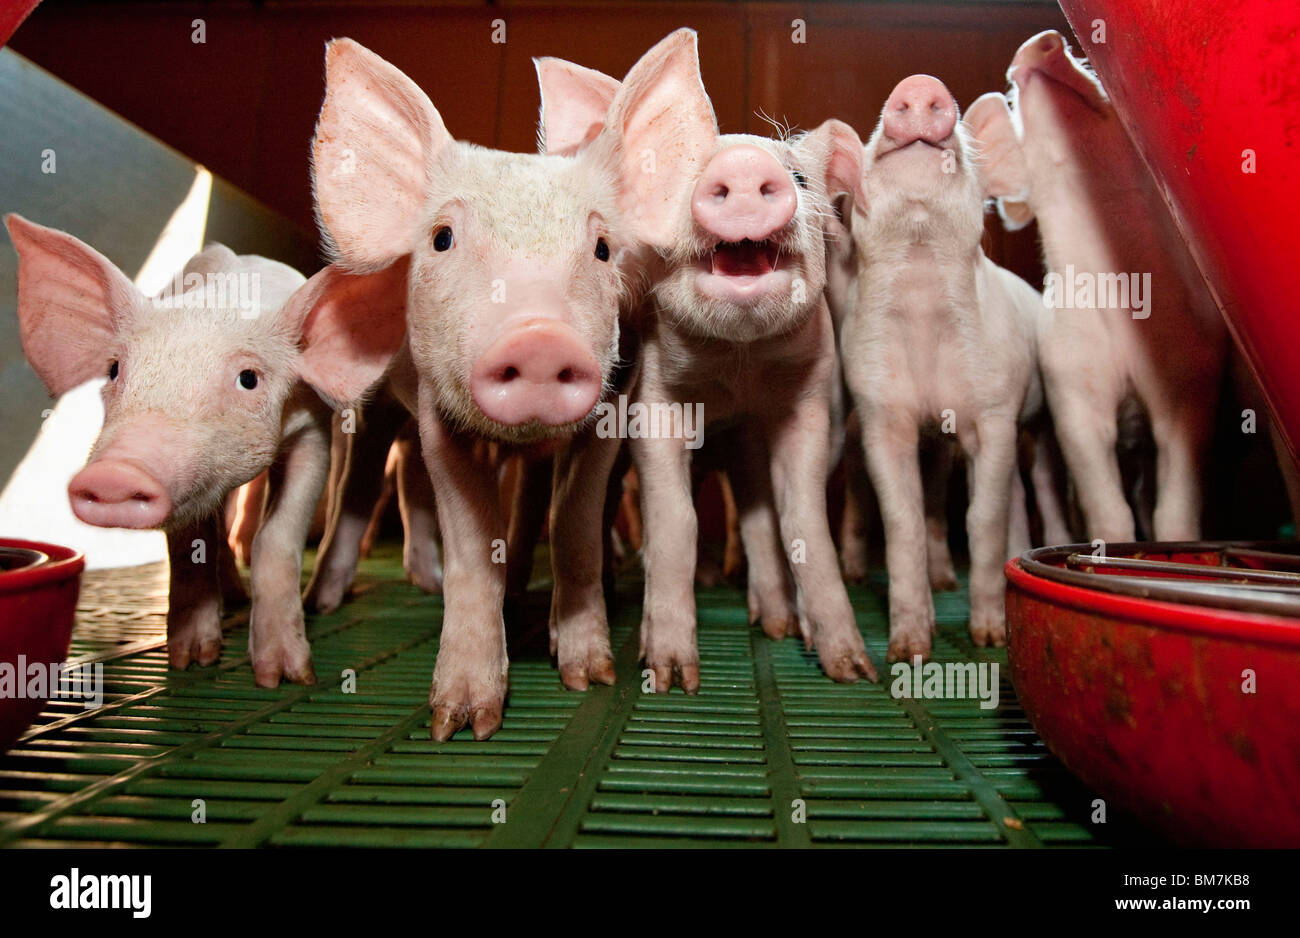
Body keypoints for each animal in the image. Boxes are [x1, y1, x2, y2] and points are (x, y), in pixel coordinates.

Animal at [6, 215, 407, 684]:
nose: (115, 473)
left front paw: (284, 677)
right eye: (115, 369)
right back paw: (231, 599)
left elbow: (277, 537)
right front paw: (191, 660)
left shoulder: (313, 430)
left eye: (249, 378)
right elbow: (190, 544)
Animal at [309, 31, 715, 739]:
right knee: (357, 486)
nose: (538, 337)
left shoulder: (613, 404)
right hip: (368, 409)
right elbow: (473, 546)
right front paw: (461, 724)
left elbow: (572, 522)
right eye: (442, 238)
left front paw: (588, 675)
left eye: (603, 247)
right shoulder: (437, 414)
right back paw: (325, 604)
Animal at [535, 53, 877, 692]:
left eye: (799, 178)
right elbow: (677, 521)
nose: (742, 166)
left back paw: (775, 624)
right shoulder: (653, 400)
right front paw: (672, 677)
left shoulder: (806, 401)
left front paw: (853, 670)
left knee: (755, 511)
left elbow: (801, 520)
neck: (735, 369)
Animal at [838, 75, 1047, 661]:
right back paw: (868, 576)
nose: (919, 84)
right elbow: (902, 516)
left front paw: (991, 635)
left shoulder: (995, 410)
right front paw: (908, 650)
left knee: (1016, 492)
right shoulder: (881, 411)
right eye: (869, 145)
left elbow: (982, 517)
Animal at [966, 30, 1227, 544]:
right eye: (1014, 104)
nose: (1039, 43)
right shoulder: (1069, 384)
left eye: (1099, 75)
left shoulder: (1189, 378)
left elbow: (1176, 510)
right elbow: (1108, 509)